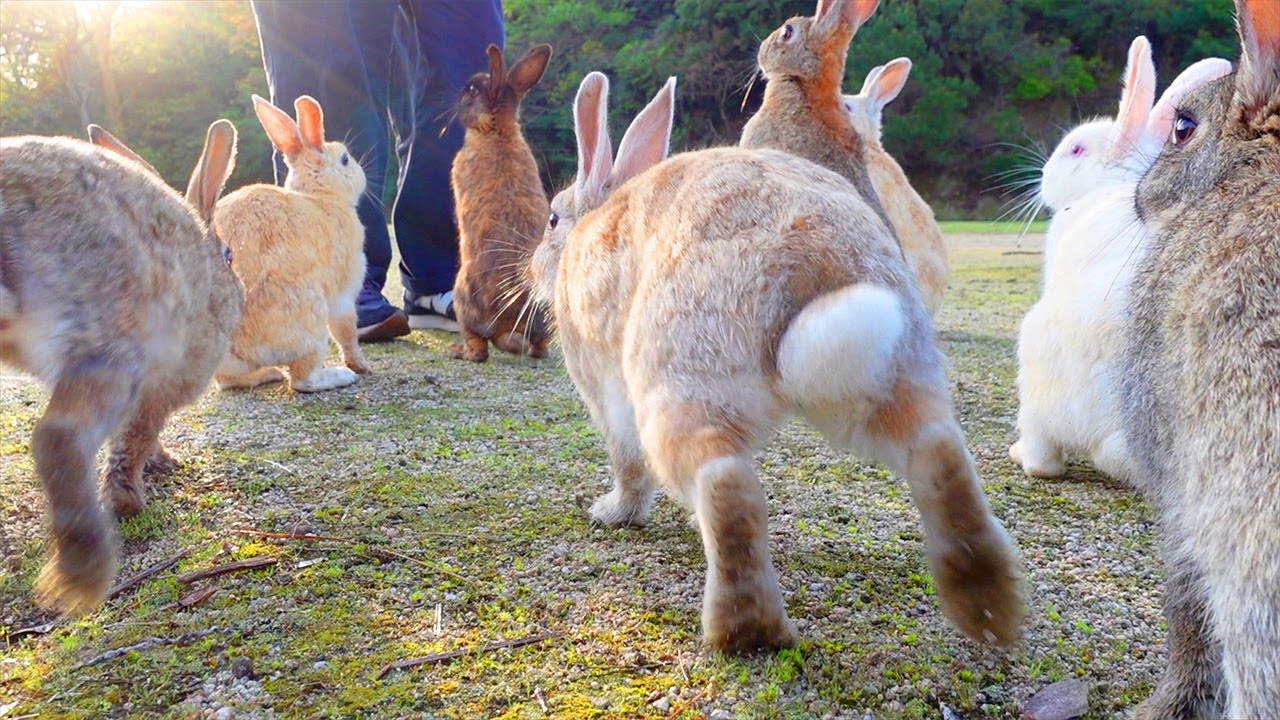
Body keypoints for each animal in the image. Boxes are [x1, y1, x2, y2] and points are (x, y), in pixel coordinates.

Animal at [0, 120, 243, 613]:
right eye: (229, 255)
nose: (242, 295)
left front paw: (161, 464)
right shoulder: (161, 381)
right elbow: (136, 435)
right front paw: (130, 497)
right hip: (112, 343)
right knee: (58, 437)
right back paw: (84, 574)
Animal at [212, 95, 370, 393]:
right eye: (345, 159)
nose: (362, 174)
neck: (321, 196)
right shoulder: (344, 294)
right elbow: (346, 330)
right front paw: (361, 365)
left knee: (227, 380)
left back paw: (267, 374)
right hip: (312, 320)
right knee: (301, 380)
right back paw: (340, 375)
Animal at [447, 43, 553, 363]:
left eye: (472, 89)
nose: (456, 97)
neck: (496, 131)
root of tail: (511, 321)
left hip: (462, 299)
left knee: (478, 348)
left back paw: (458, 352)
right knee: (538, 348)